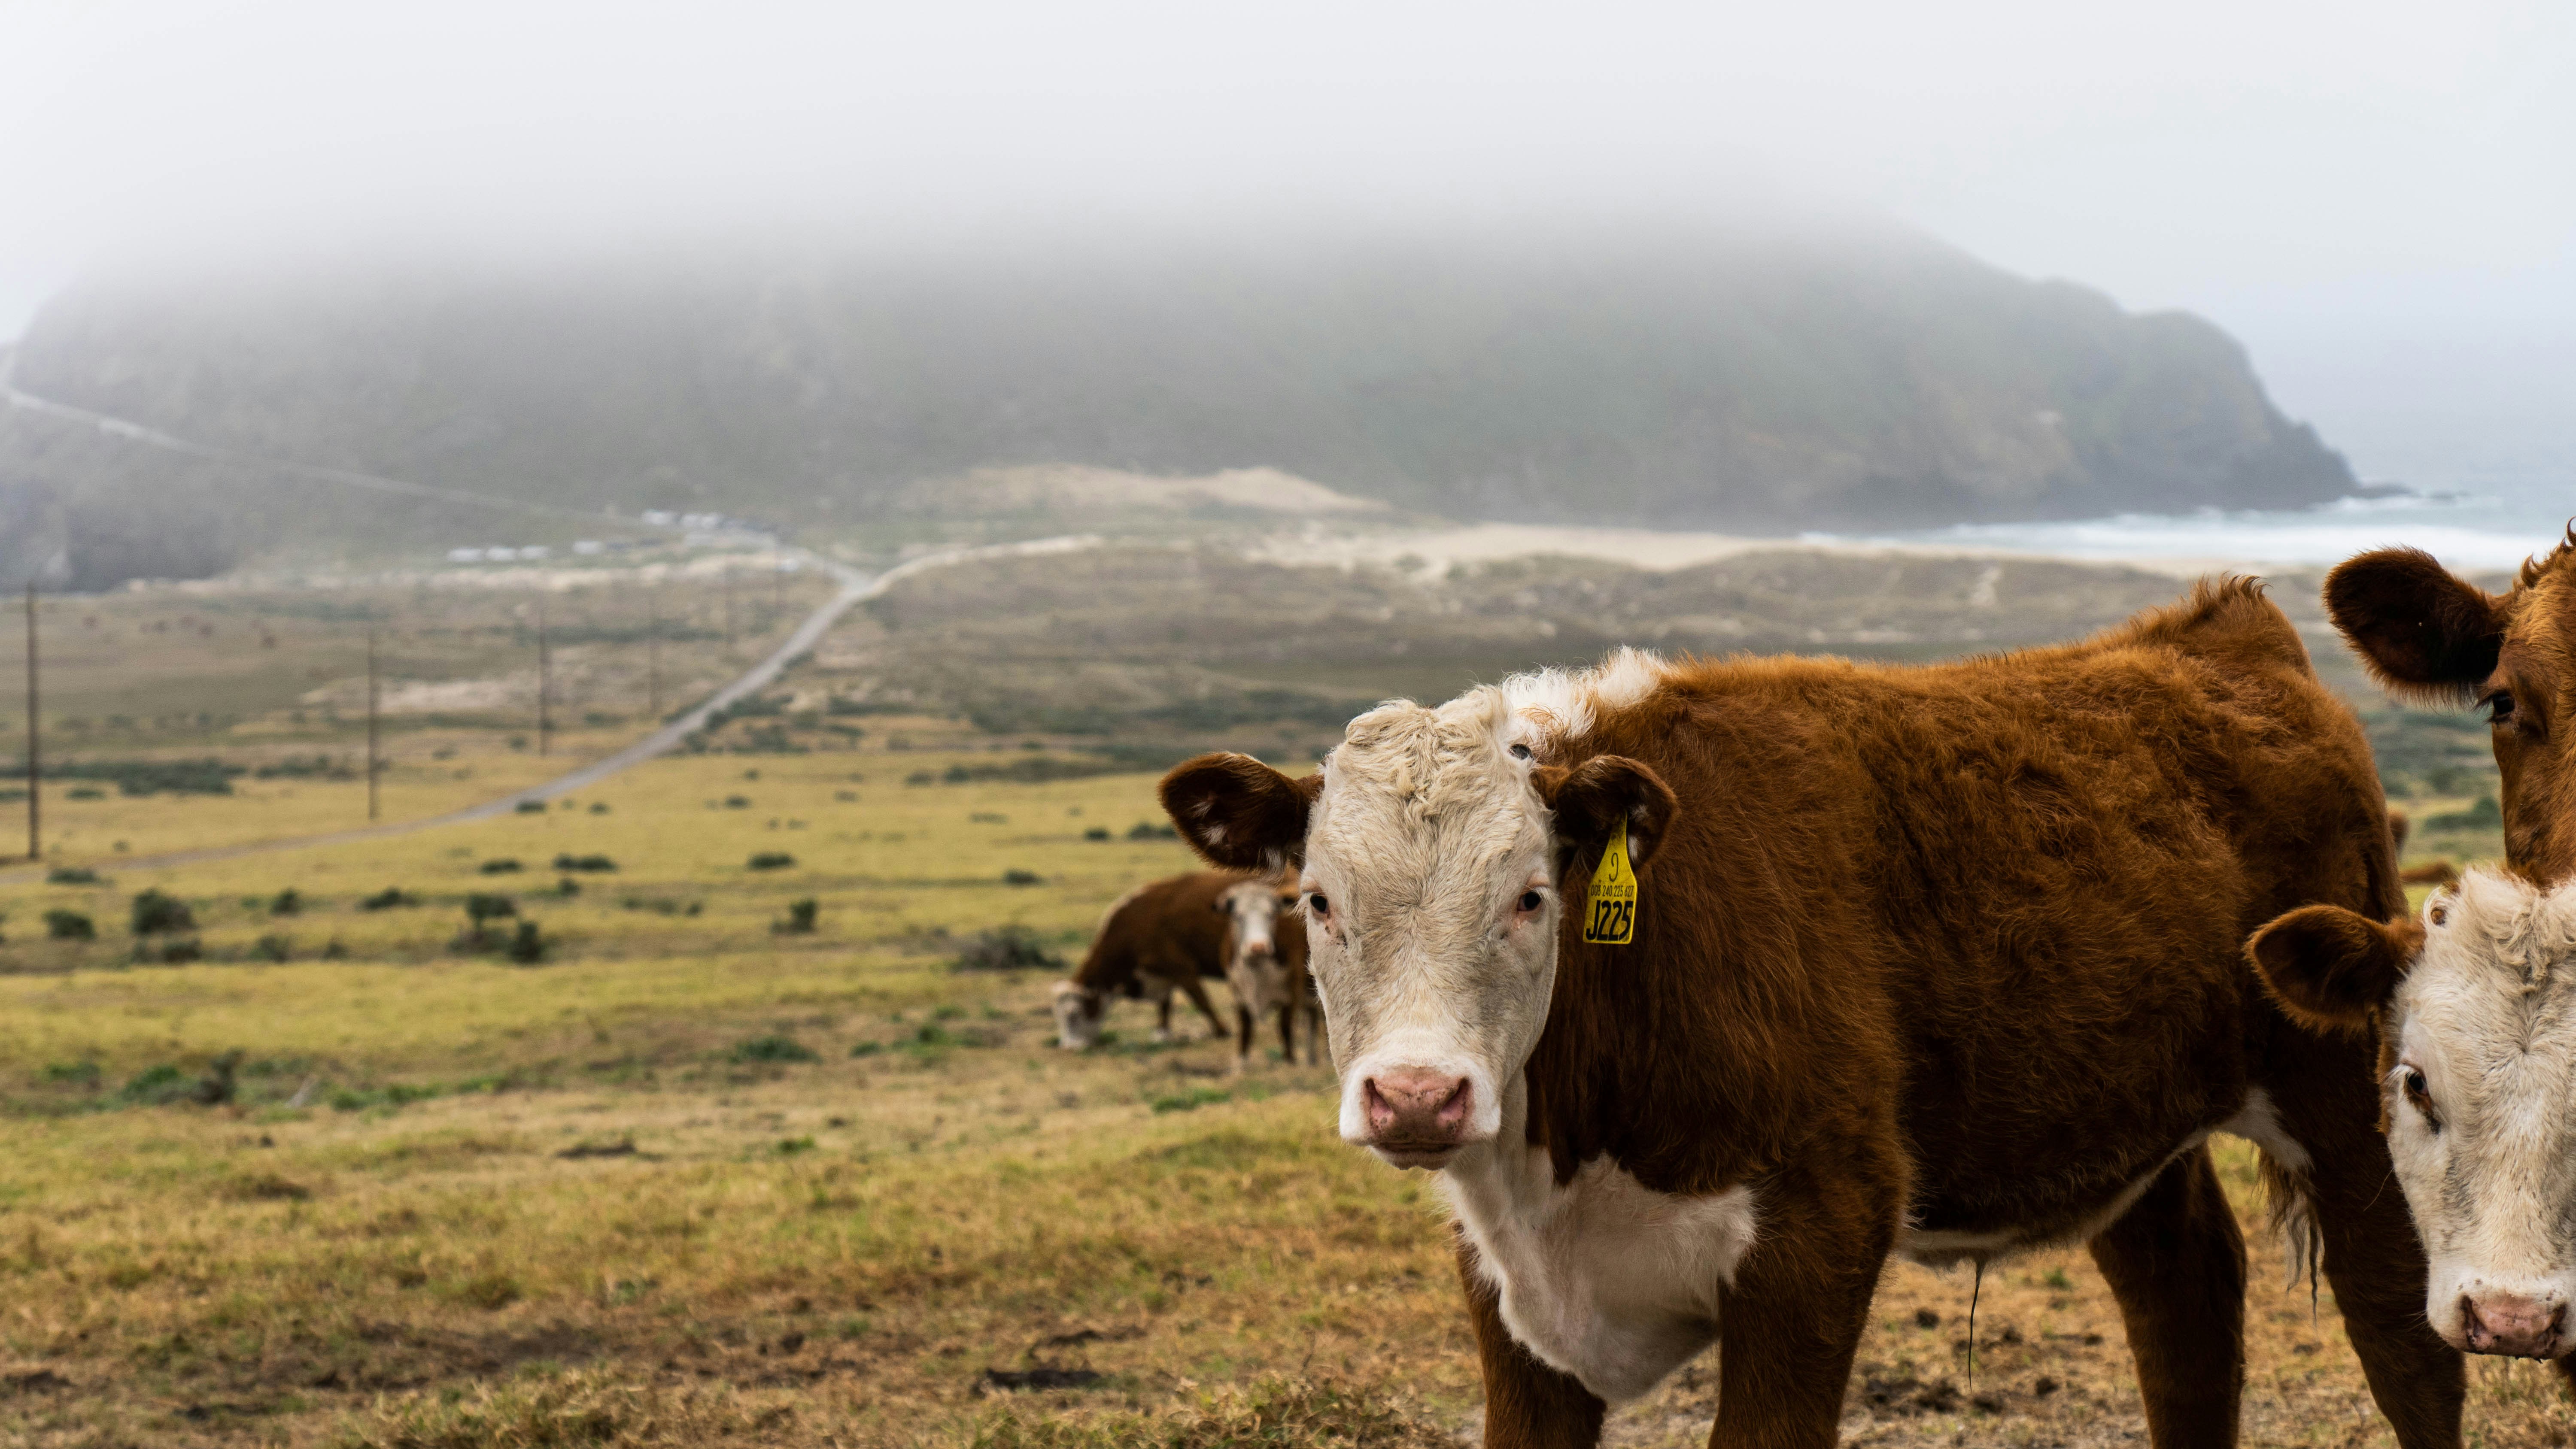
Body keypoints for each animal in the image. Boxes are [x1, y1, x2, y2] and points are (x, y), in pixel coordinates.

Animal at [1052, 871, 1240, 1049]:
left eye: (1074, 1015)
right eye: (1057, 1016)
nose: (1068, 1048)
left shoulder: (1183, 969)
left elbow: (1202, 1002)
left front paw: (1221, 1031)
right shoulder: (1165, 975)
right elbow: (1165, 1004)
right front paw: (1162, 1033)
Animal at [1215, 870, 1324, 1070]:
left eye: (1272, 914)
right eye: (1238, 916)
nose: (1258, 947)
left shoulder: (1291, 994)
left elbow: (1285, 1027)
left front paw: (1290, 1062)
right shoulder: (1239, 995)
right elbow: (1245, 1029)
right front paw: (1241, 1064)